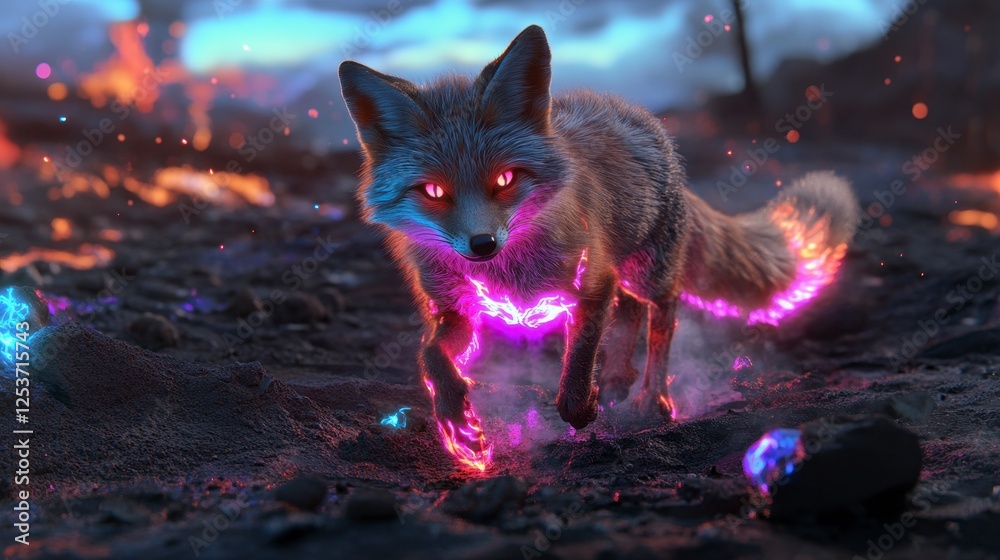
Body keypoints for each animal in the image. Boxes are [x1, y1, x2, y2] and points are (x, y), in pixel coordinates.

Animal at [339, 25, 858, 469]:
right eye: (433, 191)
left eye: (505, 179)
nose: (482, 244)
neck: (506, 271)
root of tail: (640, 119)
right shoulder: (458, 309)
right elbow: (432, 358)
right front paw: (459, 427)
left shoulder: (590, 282)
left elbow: (577, 367)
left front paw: (583, 406)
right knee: (629, 311)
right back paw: (617, 378)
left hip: (648, 271)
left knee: (661, 313)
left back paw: (650, 396)